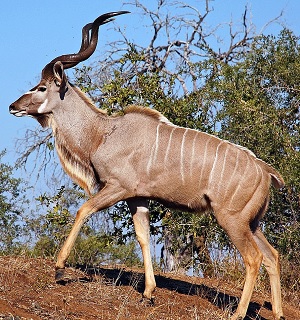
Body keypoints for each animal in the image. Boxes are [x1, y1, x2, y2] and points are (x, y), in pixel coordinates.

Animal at [9, 11, 284, 318]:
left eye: (42, 87)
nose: (13, 106)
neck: (103, 133)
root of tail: (265, 171)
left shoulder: (117, 187)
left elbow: (84, 210)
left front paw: (59, 268)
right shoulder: (137, 197)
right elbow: (143, 236)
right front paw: (148, 293)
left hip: (232, 219)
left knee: (254, 258)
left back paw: (237, 313)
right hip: (252, 223)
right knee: (272, 256)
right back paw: (278, 312)